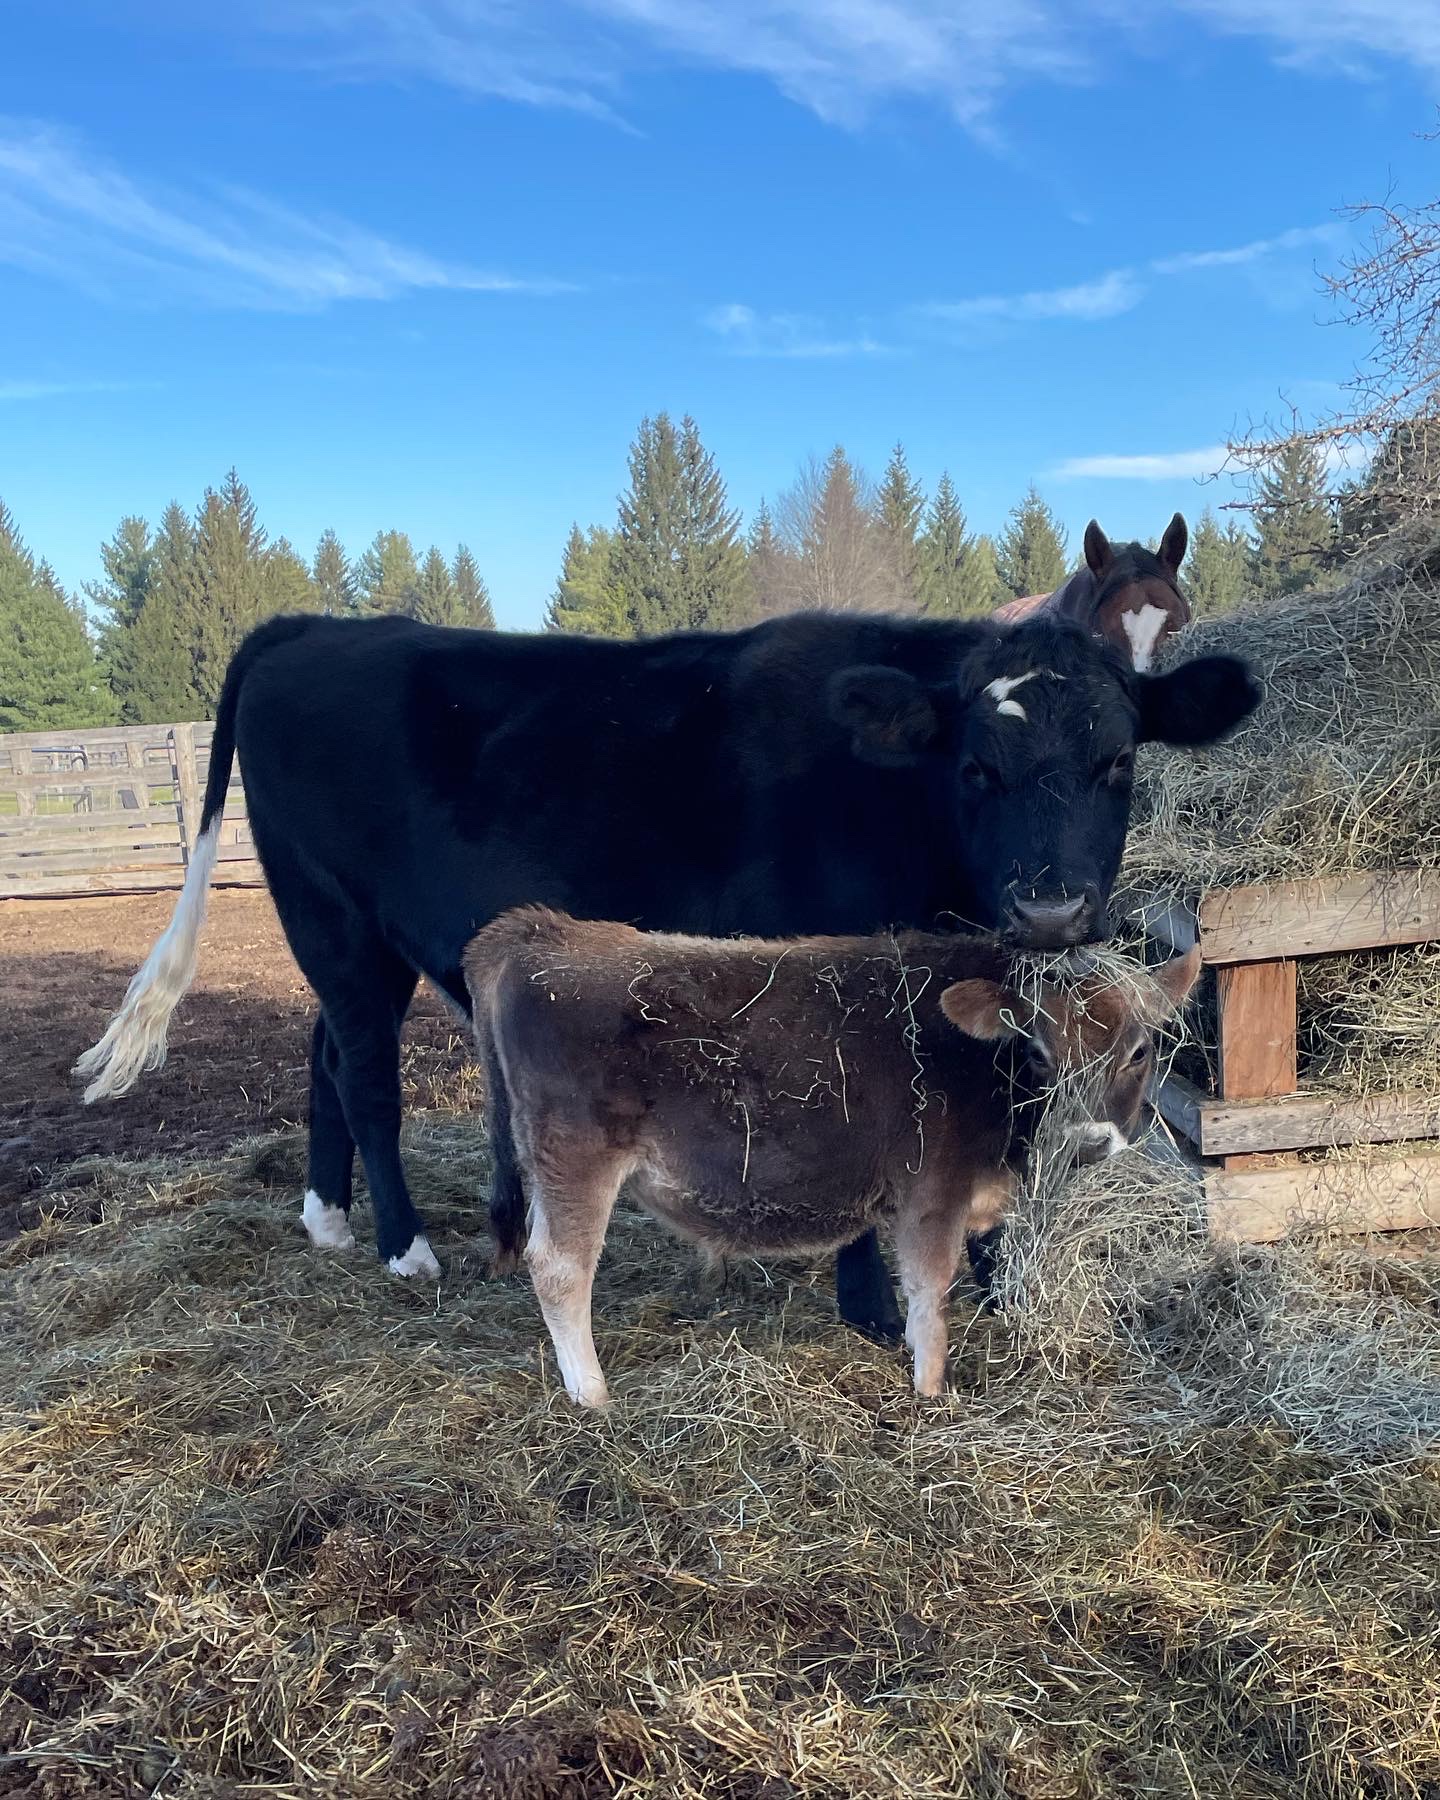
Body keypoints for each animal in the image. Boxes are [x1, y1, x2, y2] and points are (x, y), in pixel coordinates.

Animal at [74, 607, 1256, 1340]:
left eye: (1117, 760)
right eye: (975, 766)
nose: (1050, 907)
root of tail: (316, 626)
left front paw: (994, 1279)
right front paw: (875, 1306)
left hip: (342, 936)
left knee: (321, 1051)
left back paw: (326, 1220)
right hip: (339, 920)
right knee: (364, 1072)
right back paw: (404, 1250)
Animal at [465, 907, 1202, 1405]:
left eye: (1139, 1050)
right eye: (1039, 1051)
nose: (1086, 1140)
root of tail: (544, 930)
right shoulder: (931, 1188)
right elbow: (930, 1288)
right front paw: (931, 1390)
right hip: (576, 1154)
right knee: (559, 1268)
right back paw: (593, 1396)